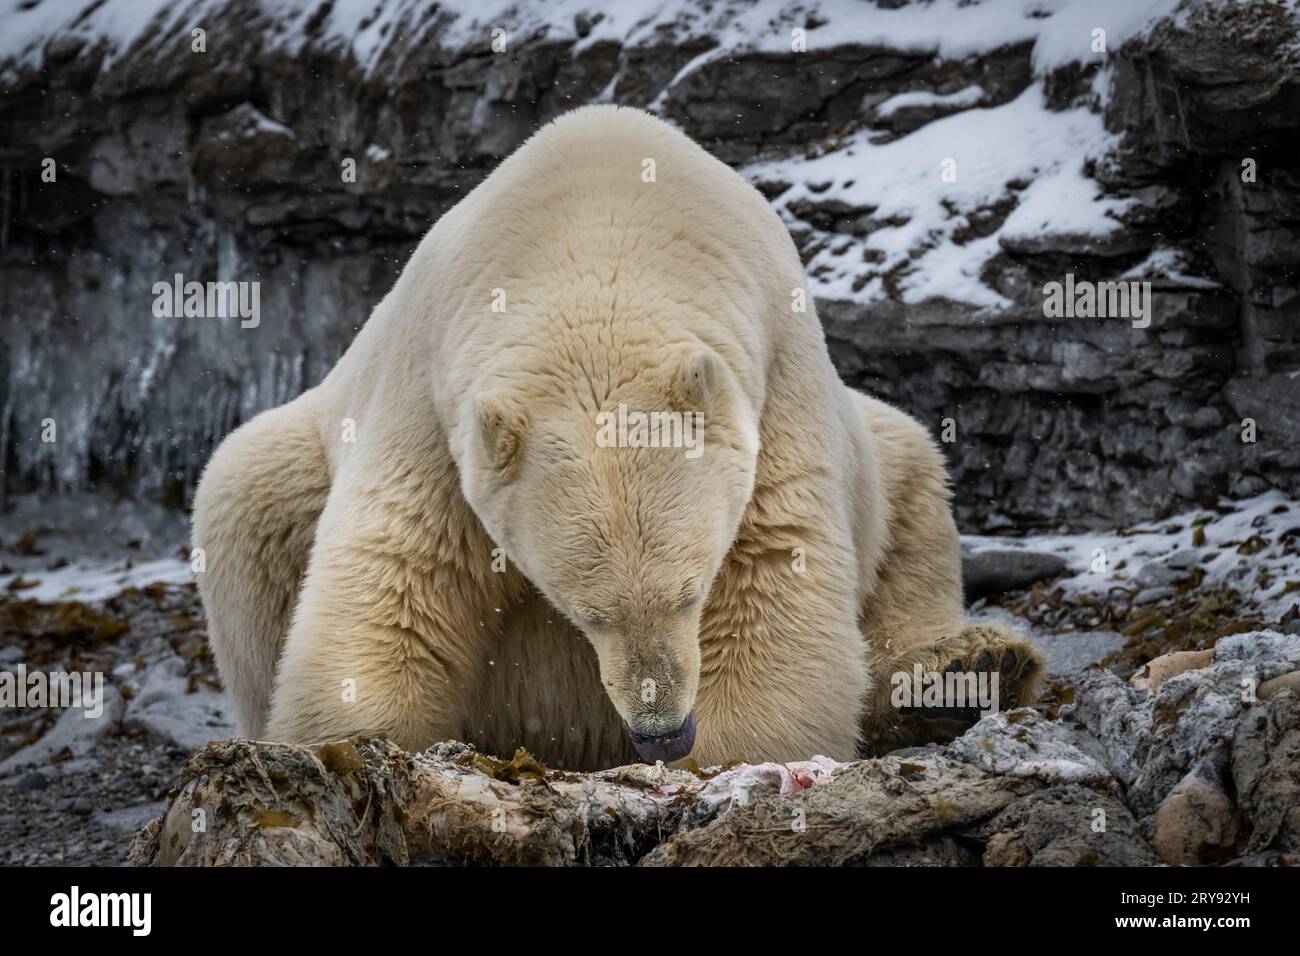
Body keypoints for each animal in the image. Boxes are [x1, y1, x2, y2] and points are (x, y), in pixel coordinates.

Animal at [192, 104, 1042, 771]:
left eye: (691, 590)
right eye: (586, 612)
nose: (661, 732)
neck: (601, 227)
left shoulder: (771, 381)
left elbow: (775, 570)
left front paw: (741, 755)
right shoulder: (434, 403)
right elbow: (397, 576)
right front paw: (346, 743)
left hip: (872, 449)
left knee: (912, 484)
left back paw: (969, 669)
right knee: (245, 497)